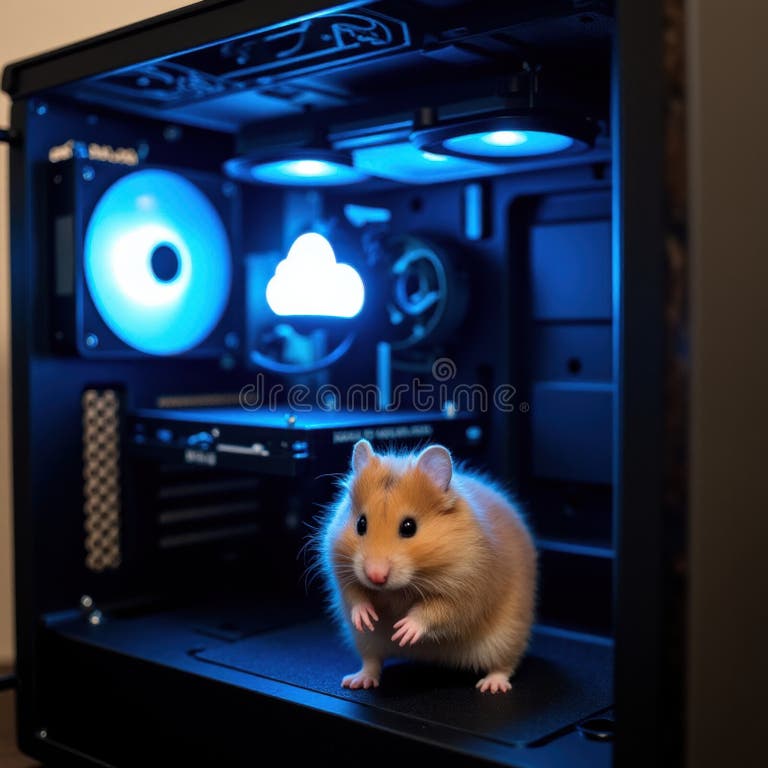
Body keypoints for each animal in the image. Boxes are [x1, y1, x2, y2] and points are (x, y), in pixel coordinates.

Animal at [314, 439, 537, 694]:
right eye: (361, 524)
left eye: (409, 527)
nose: (376, 576)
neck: (404, 586)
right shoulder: (341, 571)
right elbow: (355, 595)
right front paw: (366, 618)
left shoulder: (467, 590)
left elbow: (437, 611)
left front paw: (403, 631)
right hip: (366, 641)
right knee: (372, 661)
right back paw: (357, 681)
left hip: (507, 636)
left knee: (505, 665)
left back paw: (491, 686)